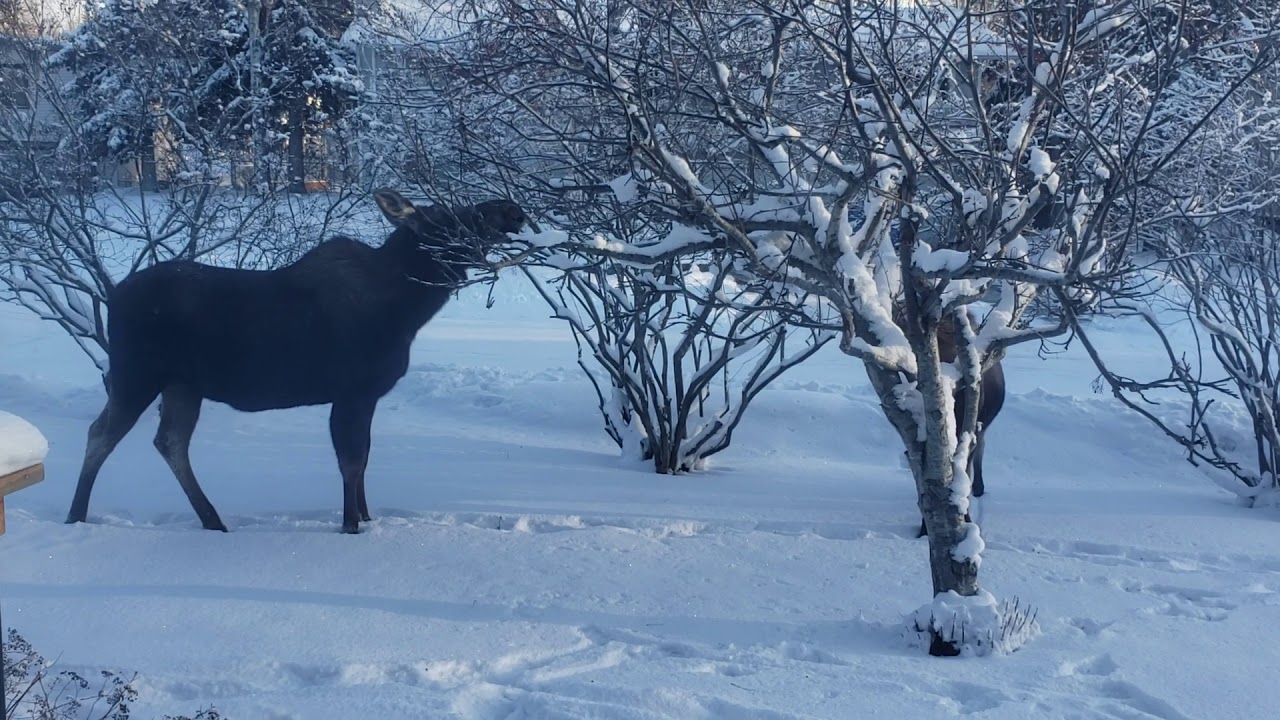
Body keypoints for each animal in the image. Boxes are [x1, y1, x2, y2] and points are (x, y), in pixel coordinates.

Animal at [64, 189, 529, 534]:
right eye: (449, 220)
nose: (511, 209)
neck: (409, 308)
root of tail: (112, 296)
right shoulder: (352, 393)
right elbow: (351, 461)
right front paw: (350, 525)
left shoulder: (365, 397)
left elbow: (364, 458)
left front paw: (365, 517)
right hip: (137, 374)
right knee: (101, 435)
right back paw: (75, 516)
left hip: (183, 385)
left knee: (169, 442)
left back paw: (213, 520)